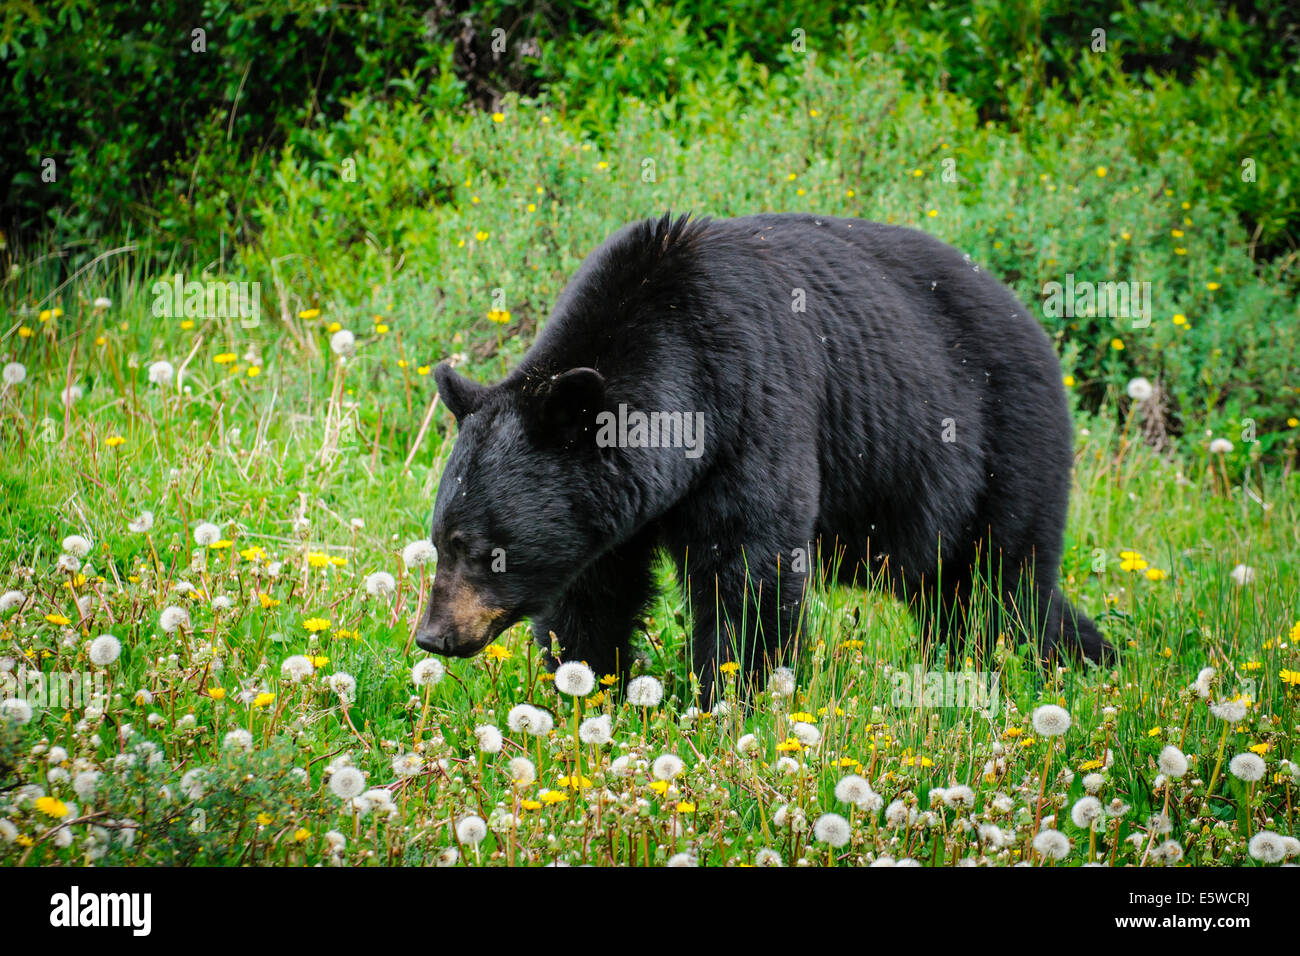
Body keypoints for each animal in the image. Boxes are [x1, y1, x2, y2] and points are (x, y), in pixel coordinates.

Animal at [416, 212, 1113, 704]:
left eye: (484, 549)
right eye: (440, 539)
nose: (433, 635)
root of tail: (1034, 325)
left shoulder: (750, 404)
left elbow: (749, 565)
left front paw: (730, 697)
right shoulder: (613, 500)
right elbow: (595, 590)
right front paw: (586, 686)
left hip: (1002, 446)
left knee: (1001, 589)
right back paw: (1090, 660)